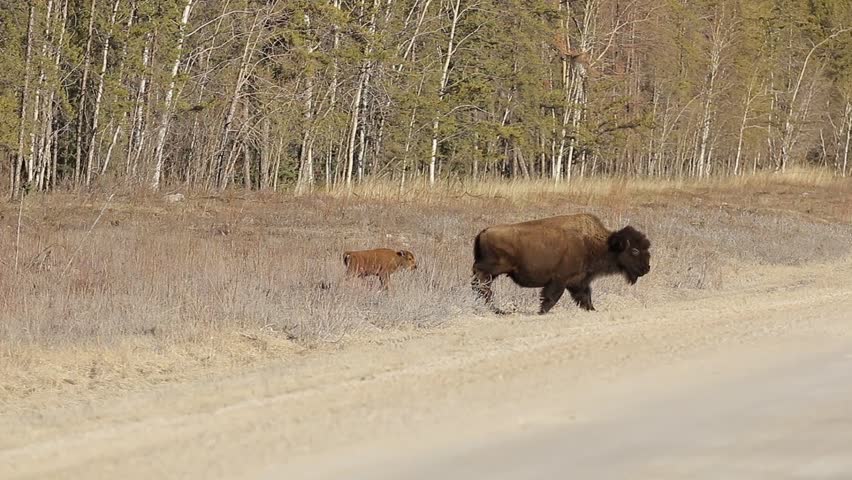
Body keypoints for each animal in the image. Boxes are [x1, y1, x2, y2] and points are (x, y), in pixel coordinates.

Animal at [471, 214, 650, 314]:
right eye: (634, 251)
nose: (647, 268)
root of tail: (483, 232)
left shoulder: (579, 281)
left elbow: (585, 297)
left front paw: (593, 309)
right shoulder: (560, 280)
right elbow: (551, 297)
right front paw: (541, 312)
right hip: (491, 268)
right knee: (481, 283)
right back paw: (498, 310)